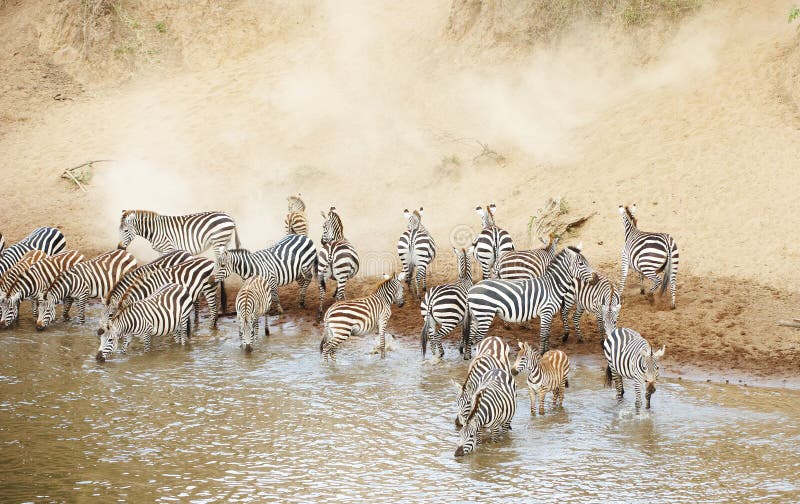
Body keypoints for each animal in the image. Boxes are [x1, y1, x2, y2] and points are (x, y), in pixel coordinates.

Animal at [464, 244, 594, 358]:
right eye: (581, 264)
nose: (596, 278)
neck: (552, 285)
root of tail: (471, 290)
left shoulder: (549, 313)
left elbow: (547, 334)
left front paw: (546, 352)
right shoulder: (546, 311)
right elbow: (543, 335)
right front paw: (542, 354)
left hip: (476, 317)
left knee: (470, 338)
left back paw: (467, 358)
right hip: (485, 314)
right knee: (477, 339)